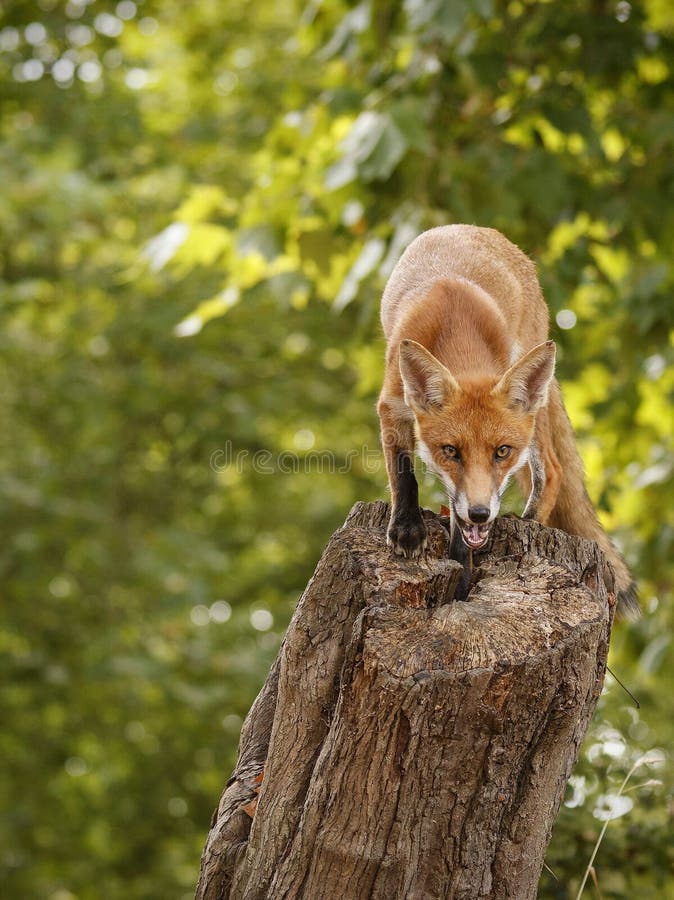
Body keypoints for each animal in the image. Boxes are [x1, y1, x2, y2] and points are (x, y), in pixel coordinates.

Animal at [377, 224, 638, 617]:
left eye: (502, 451)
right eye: (450, 451)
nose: (481, 513)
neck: (456, 323)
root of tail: (475, 228)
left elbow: (459, 528)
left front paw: (462, 580)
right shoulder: (392, 405)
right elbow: (403, 473)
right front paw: (408, 528)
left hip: (532, 401)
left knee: (554, 468)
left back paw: (529, 521)